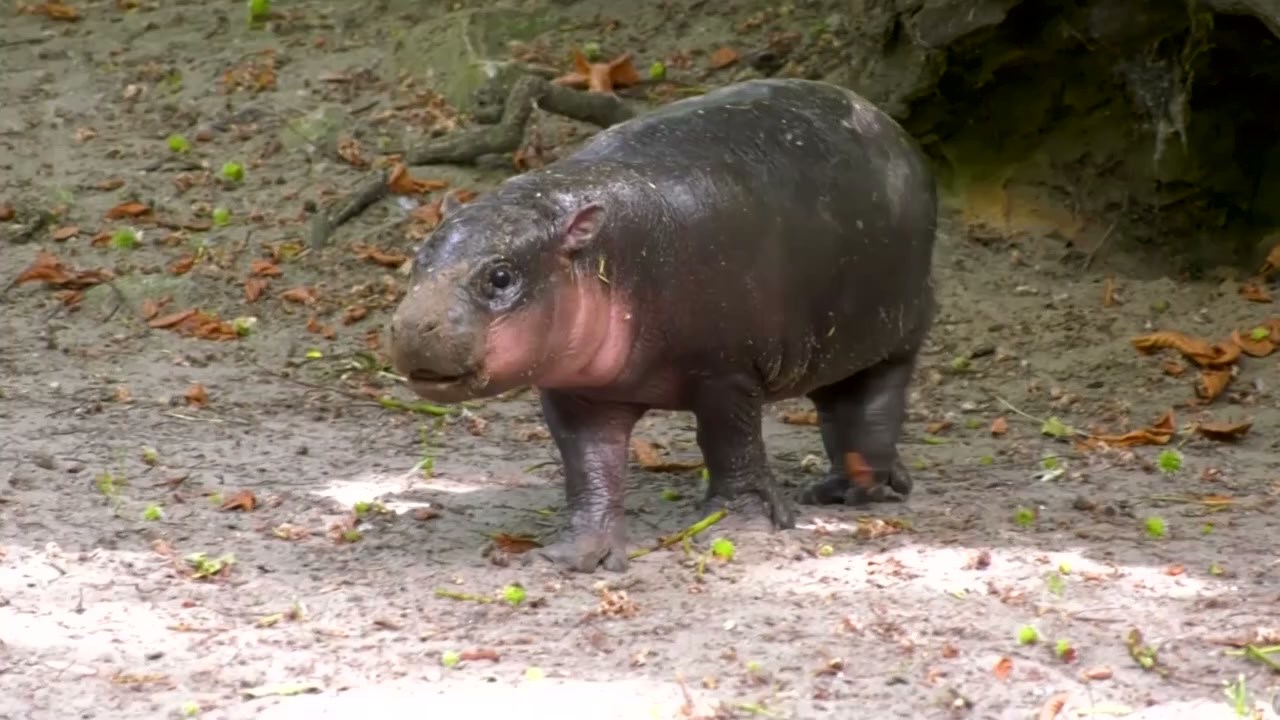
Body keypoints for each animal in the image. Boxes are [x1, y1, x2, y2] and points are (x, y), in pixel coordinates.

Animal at [388, 78, 937, 573]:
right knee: (837, 406)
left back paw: (861, 493)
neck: (598, 249)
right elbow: (589, 467)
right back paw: (841, 489)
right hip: (831, 345)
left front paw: (740, 526)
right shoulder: (575, 393)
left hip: (895, 331)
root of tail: (889, 126)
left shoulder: (728, 373)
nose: (414, 326)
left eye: (501, 276)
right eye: (418, 259)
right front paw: (575, 556)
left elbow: (731, 444)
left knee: (874, 404)